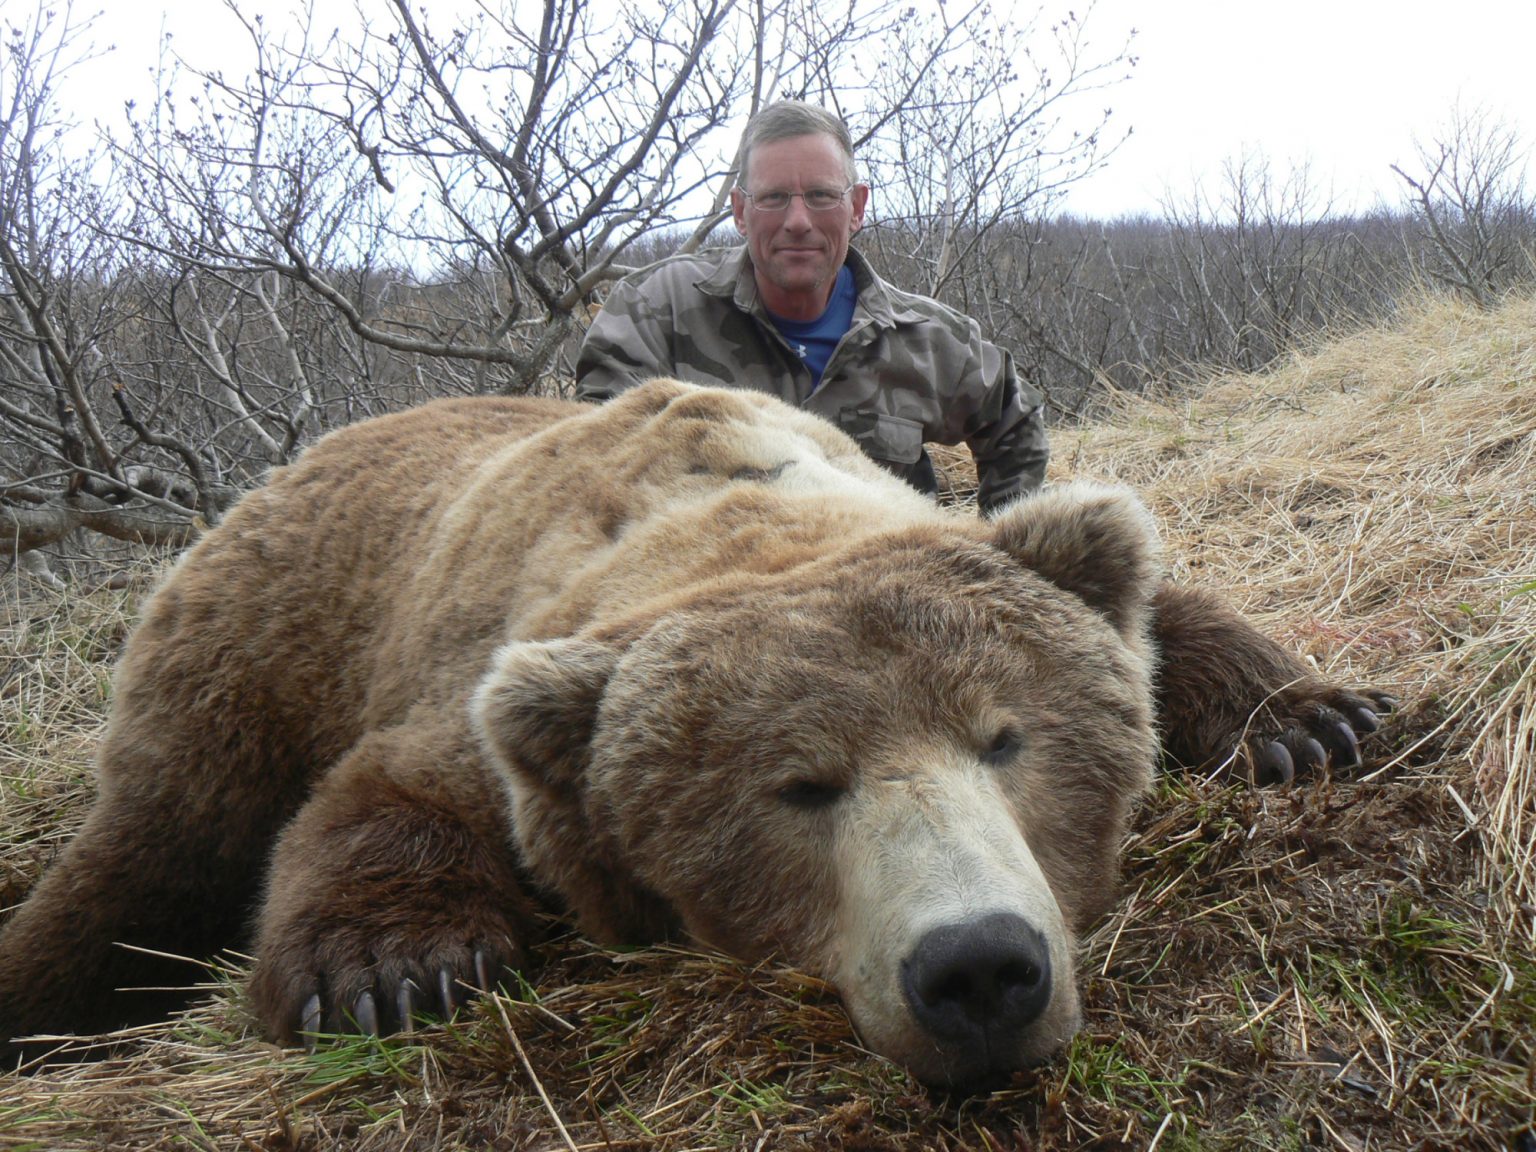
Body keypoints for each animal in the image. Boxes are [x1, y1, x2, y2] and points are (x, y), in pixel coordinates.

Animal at [0, 380, 1391, 1087]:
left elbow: (1160, 608)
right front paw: (392, 973)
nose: (979, 966)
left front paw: (1316, 719)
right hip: (246, 656)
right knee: (146, 855)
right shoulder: (500, 693)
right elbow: (389, 796)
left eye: (1009, 738)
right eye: (800, 788)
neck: (742, 512)